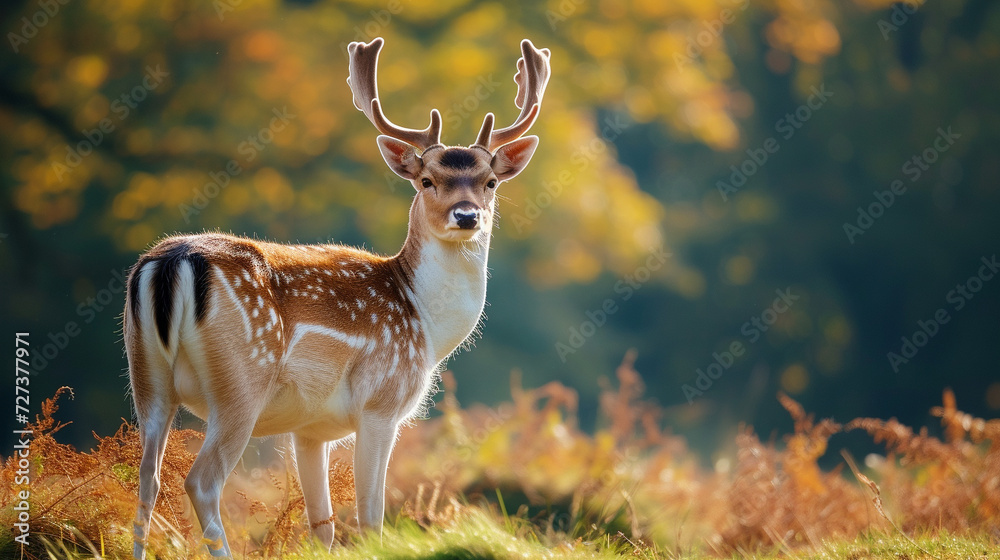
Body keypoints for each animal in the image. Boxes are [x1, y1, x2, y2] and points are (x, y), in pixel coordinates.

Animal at [124, 37, 550, 558]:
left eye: (490, 182)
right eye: (426, 180)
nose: (467, 216)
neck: (425, 325)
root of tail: (169, 263)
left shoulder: (309, 429)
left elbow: (321, 526)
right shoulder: (382, 402)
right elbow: (371, 518)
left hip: (147, 376)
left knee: (146, 477)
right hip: (241, 381)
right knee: (201, 481)